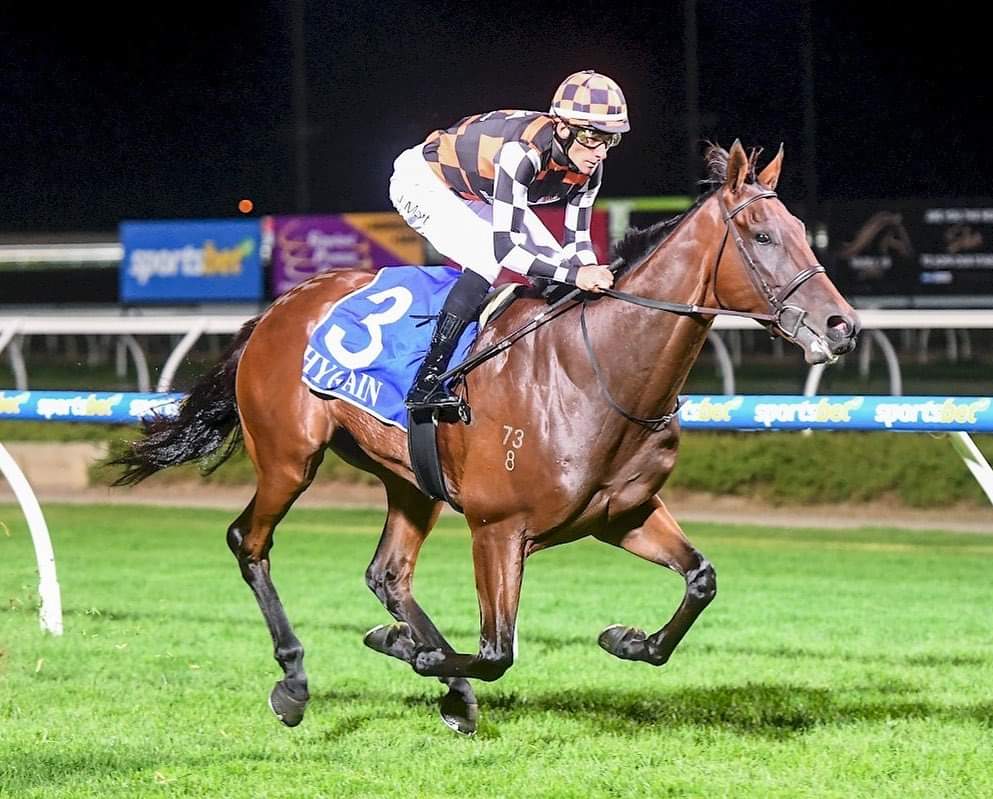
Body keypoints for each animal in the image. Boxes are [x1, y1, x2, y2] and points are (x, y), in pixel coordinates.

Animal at [112, 141, 860, 735]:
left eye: (802, 230)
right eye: (761, 236)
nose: (843, 325)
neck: (595, 368)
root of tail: (282, 304)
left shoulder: (622, 513)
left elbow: (700, 579)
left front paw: (625, 639)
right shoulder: (497, 529)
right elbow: (499, 650)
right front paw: (412, 653)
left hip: (411, 478)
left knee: (388, 572)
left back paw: (445, 685)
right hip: (290, 458)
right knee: (251, 541)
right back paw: (297, 681)